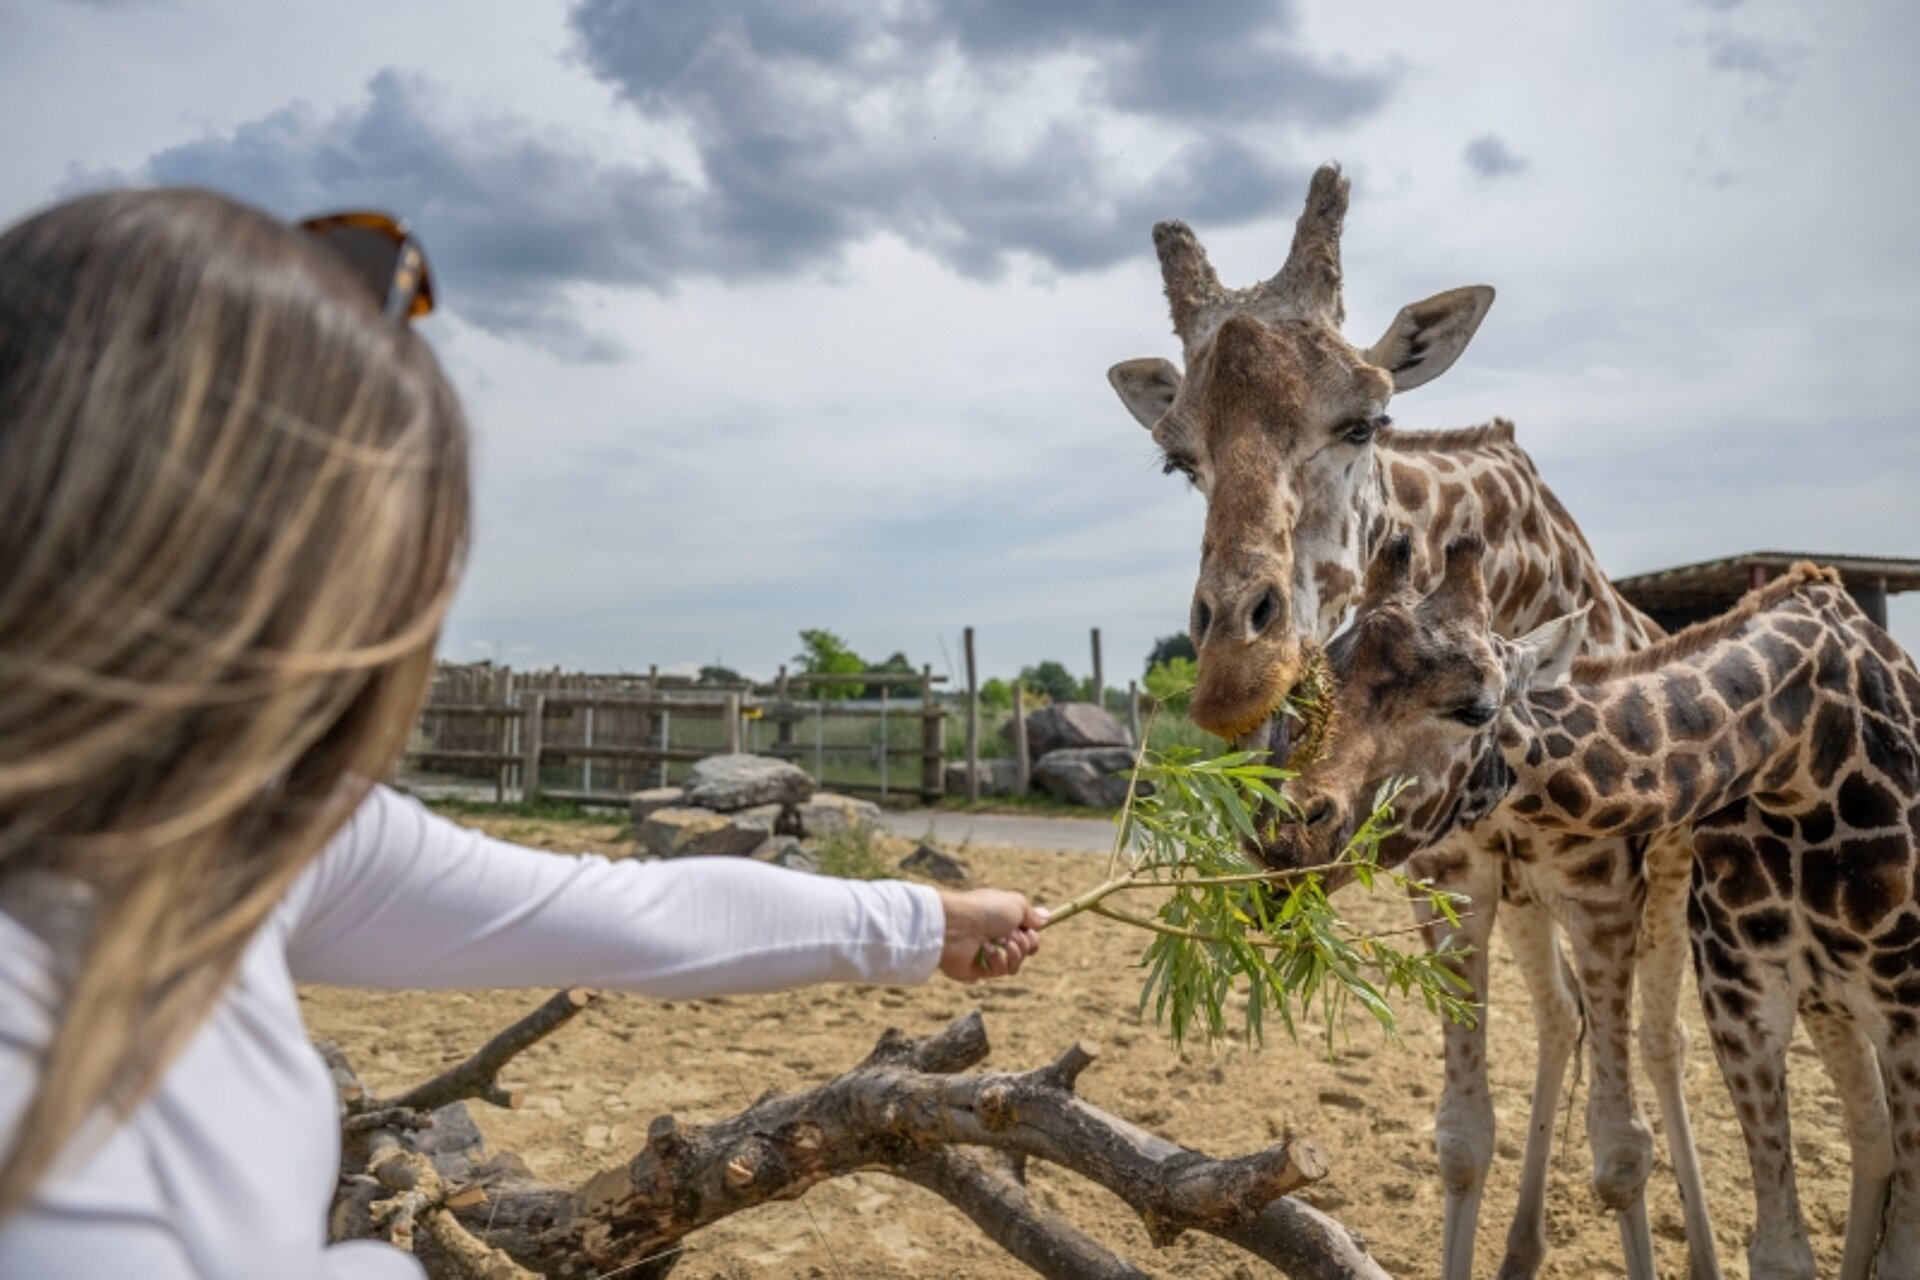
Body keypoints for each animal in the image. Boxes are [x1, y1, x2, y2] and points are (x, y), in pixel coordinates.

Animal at [1106, 165, 1719, 1279]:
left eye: (1365, 422)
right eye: (1179, 460)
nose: (1234, 670)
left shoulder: (1602, 887)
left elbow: (1620, 1150)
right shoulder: (1454, 883)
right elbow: (1461, 1135)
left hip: (1672, 884)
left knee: (1663, 1047)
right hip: (1527, 900)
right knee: (1561, 1022)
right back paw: (1523, 1249)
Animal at [1266, 545, 1920, 1280]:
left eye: (1475, 709)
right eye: (1313, 688)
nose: (1282, 834)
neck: (1805, 756)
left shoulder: (1896, 1006)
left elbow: (1624, 1151)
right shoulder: (1745, 998)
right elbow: (1462, 1137)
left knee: (1669, 1044)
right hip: (1812, 995)